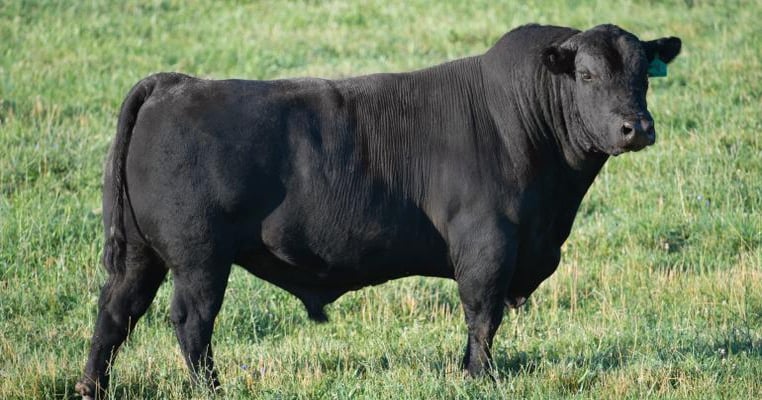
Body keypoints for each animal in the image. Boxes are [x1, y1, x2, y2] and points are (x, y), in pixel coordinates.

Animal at [76, 23, 681, 399]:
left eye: (643, 74)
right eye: (586, 75)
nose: (636, 127)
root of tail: (174, 84)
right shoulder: (487, 244)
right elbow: (482, 316)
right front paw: (480, 378)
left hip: (141, 254)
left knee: (114, 314)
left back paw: (91, 386)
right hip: (199, 259)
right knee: (191, 323)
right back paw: (212, 389)